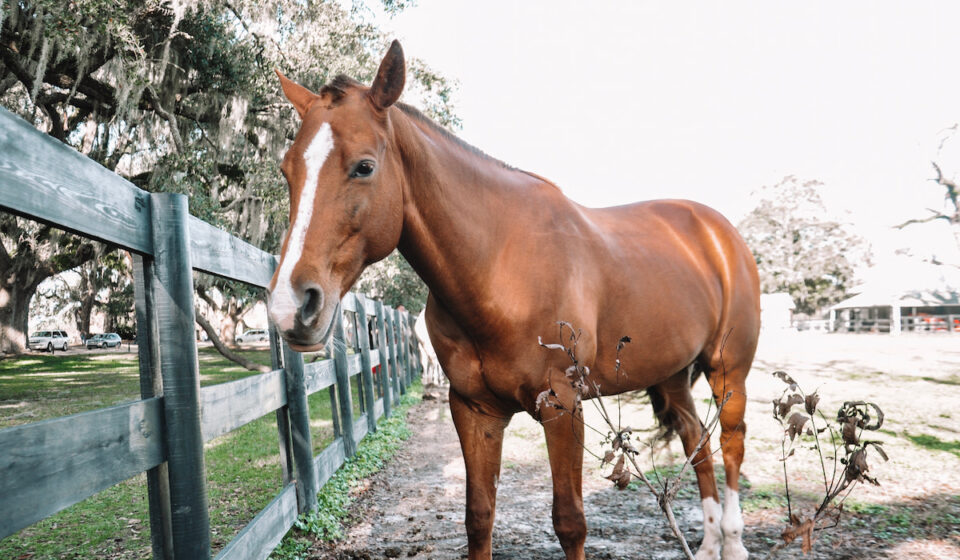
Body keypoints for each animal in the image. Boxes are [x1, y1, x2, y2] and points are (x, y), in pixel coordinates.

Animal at [266, 41, 760, 560]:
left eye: (364, 166)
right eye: (287, 171)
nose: (290, 306)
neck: (501, 269)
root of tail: (717, 232)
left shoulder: (563, 407)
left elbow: (570, 522)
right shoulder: (474, 411)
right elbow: (479, 516)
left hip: (727, 371)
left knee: (730, 443)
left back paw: (732, 541)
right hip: (672, 374)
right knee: (696, 439)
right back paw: (709, 543)